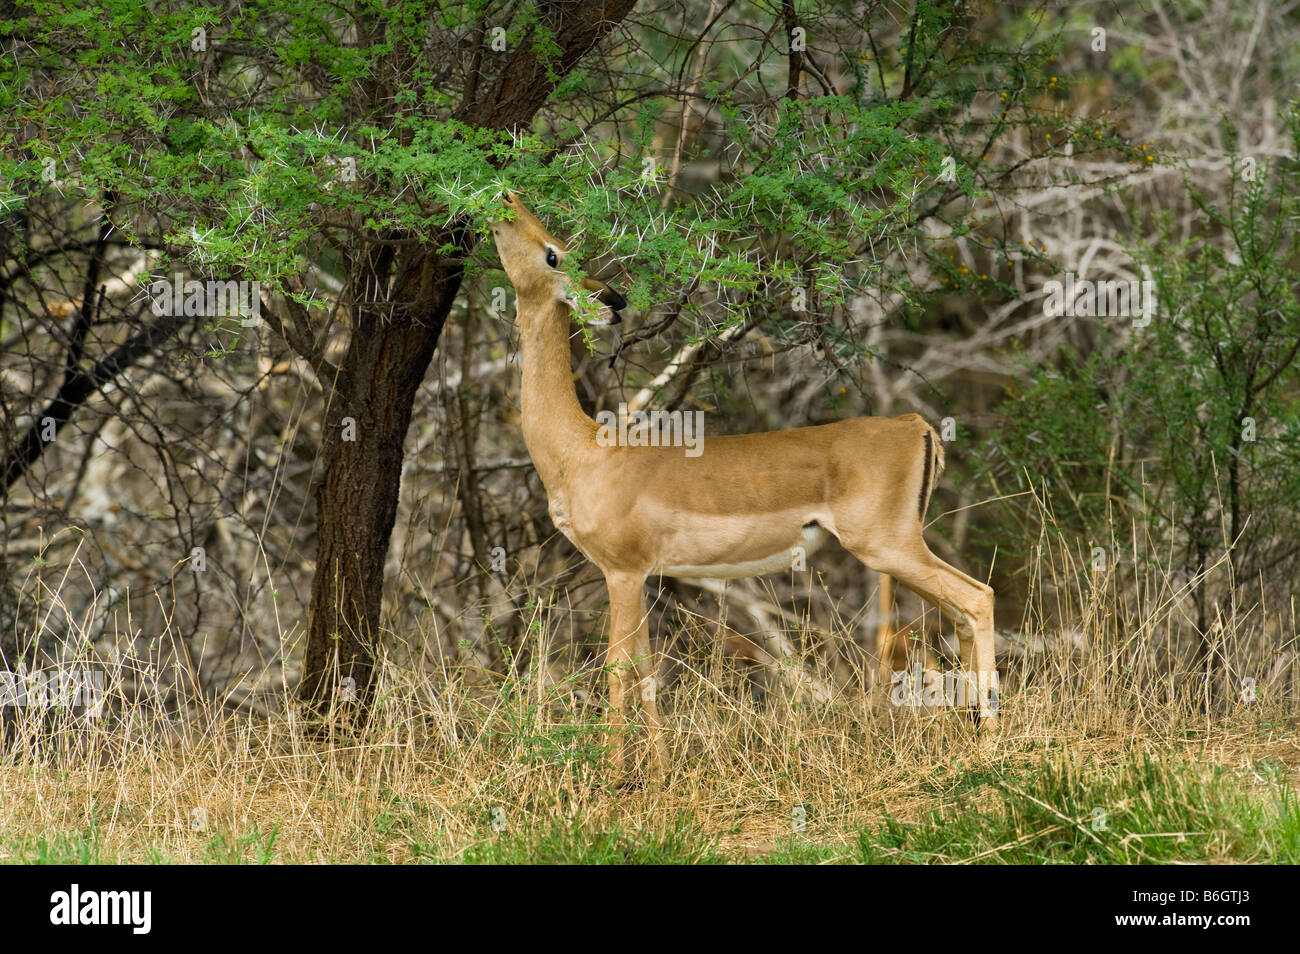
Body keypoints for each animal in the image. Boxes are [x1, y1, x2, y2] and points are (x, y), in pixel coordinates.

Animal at [489, 192, 997, 779]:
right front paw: (660, 772)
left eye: (554, 252)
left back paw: (990, 741)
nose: (503, 200)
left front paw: (616, 780)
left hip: (888, 547)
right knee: (960, 611)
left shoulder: (623, 572)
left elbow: (618, 667)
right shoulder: (639, 577)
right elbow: (645, 667)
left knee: (978, 597)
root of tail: (915, 425)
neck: (585, 449)